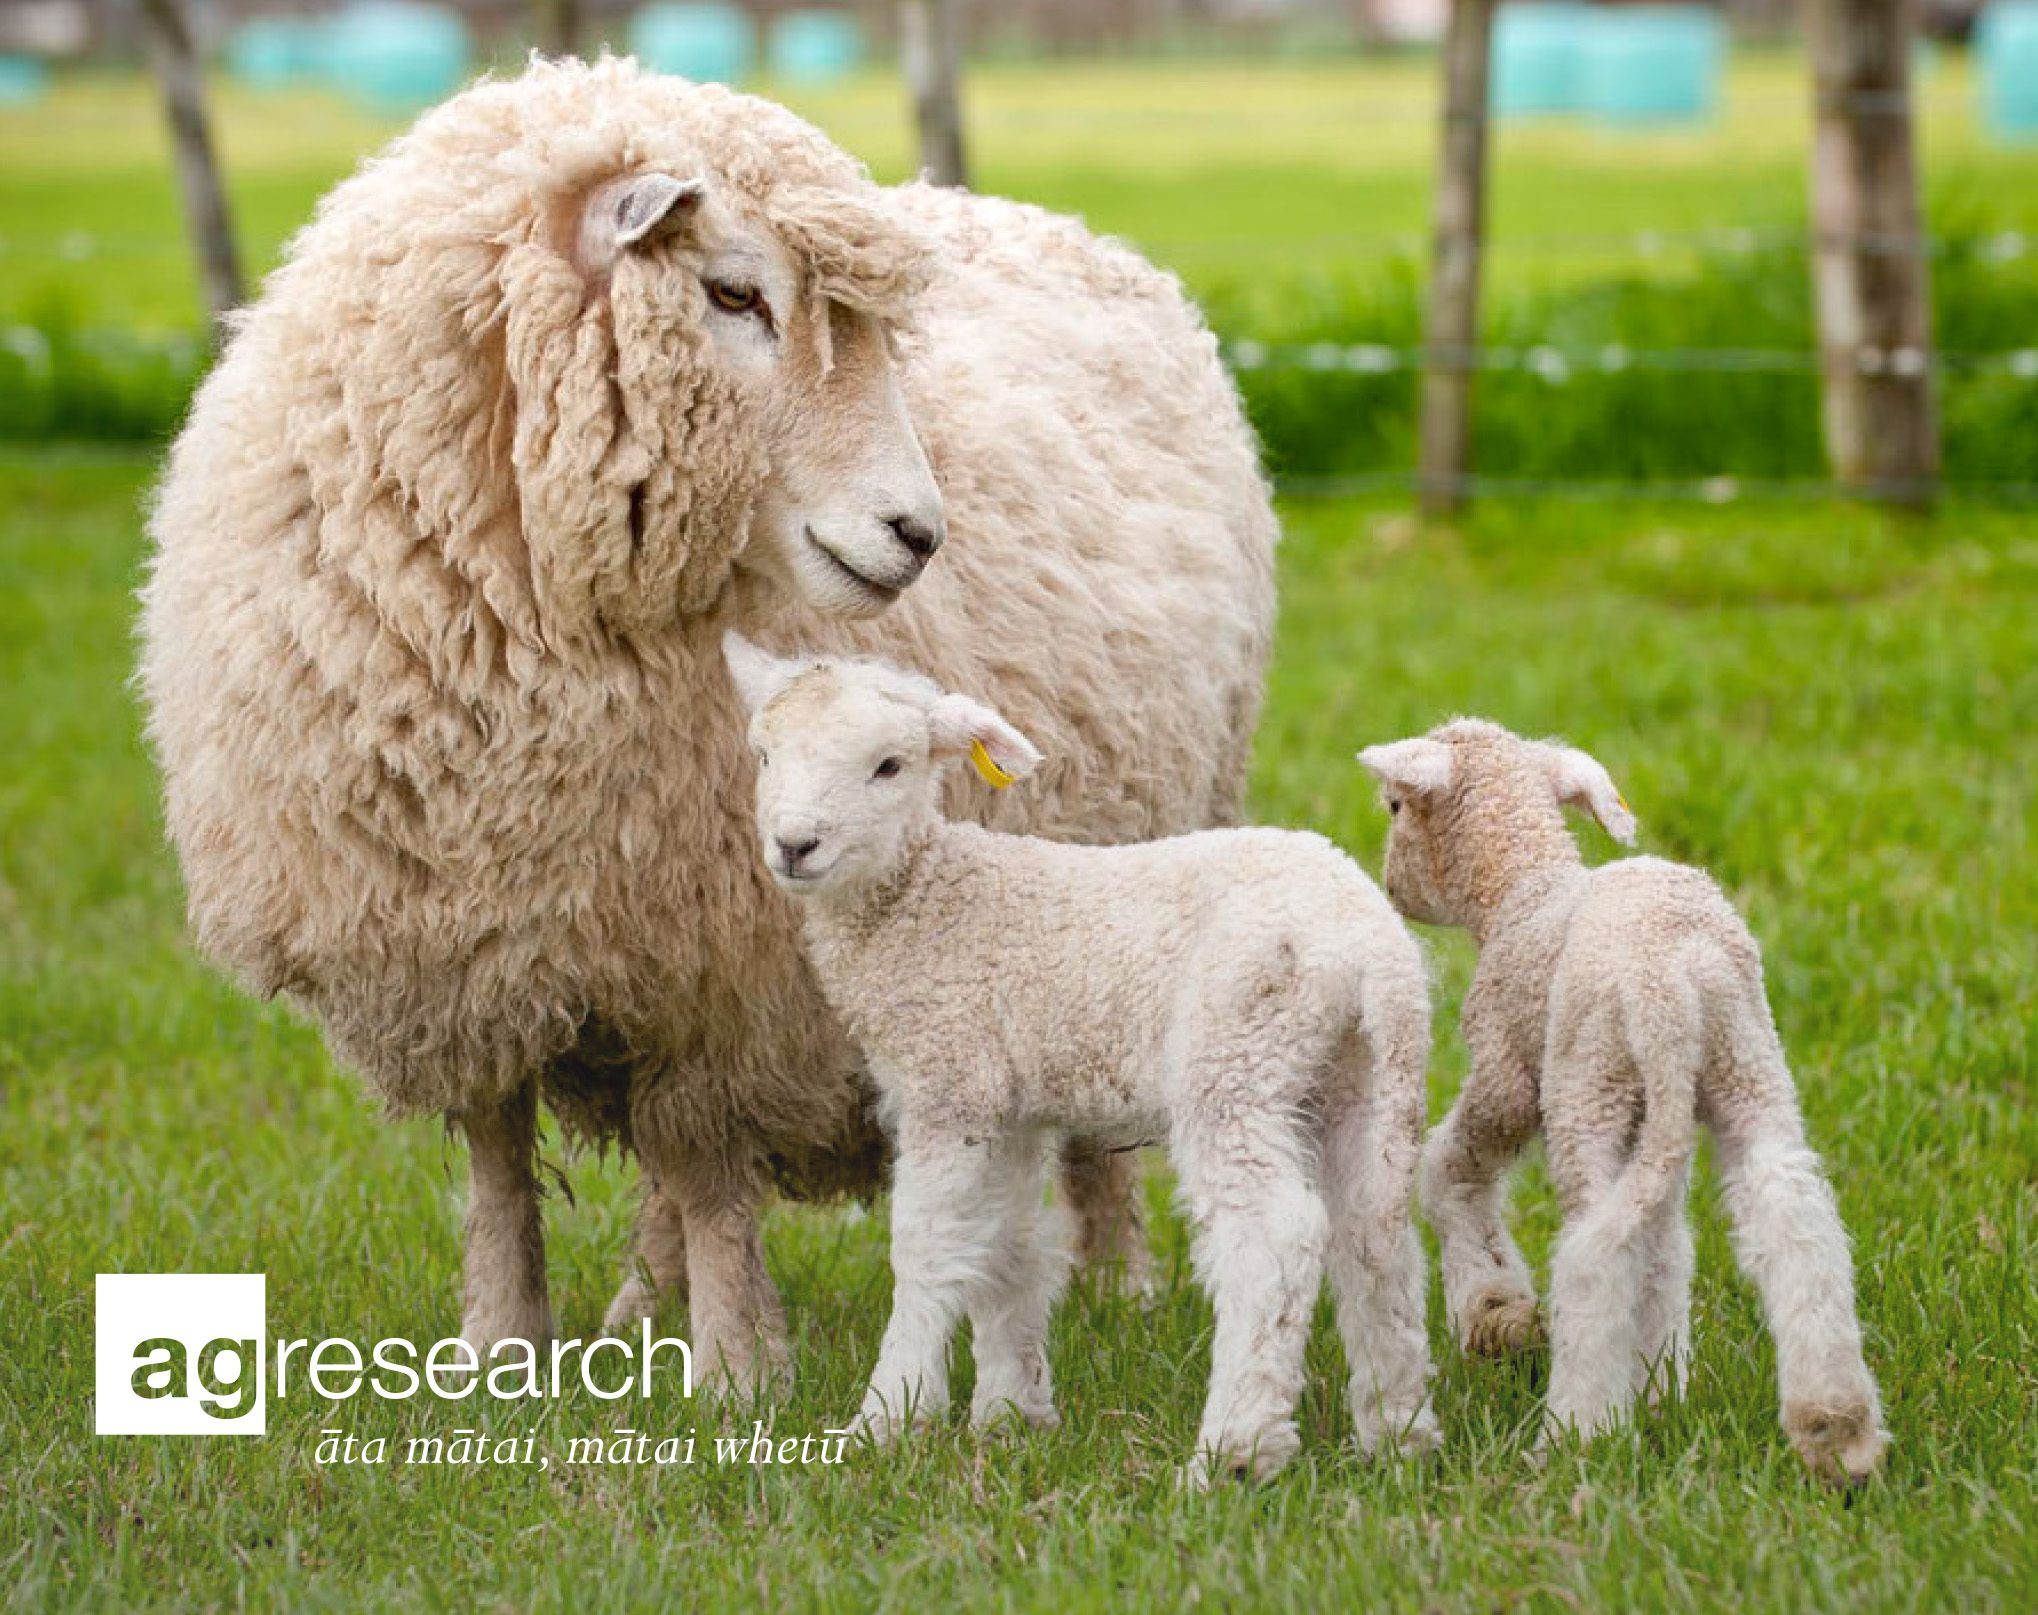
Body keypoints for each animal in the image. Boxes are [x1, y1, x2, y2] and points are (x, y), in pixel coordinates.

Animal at [137, 56, 1277, 1381]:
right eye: (733, 292)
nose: (918, 533)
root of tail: (1067, 226)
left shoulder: (725, 965)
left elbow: (701, 1155)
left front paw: (737, 1368)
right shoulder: (463, 934)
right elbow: (499, 1156)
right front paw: (498, 1344)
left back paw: (1118, 1281)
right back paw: (640, 1303)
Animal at [722, 634, 1441, 1483]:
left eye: (890, 766)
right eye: (764, 755)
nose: (795, 845)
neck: (923, 899)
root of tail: (1369, 949)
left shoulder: (949, 1081)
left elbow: (927, 1248)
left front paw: (888, 1417)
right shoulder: (1008, 1107)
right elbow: (1008, 1247)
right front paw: (1010, 1414)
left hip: (1237, 1055)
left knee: (1272, 1238)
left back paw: (1234, 1451)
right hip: (1354, 1076)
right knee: (1374, 1230)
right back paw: (1399, 1433)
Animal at [1359, 719, 1888, 1484]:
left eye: (1396, 806)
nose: (1392, 887)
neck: (1520, 886)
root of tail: (1671, 981)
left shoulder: (1507, 1065)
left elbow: (1451, 1164)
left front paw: (1494, 1312)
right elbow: (1666, 1255)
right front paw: (1659, 1389)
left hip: (1590, 1083)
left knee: (1599, 1254)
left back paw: (1575, 1435)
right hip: (1744, 1066)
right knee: (1792, 1217)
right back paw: (1836, 1426)